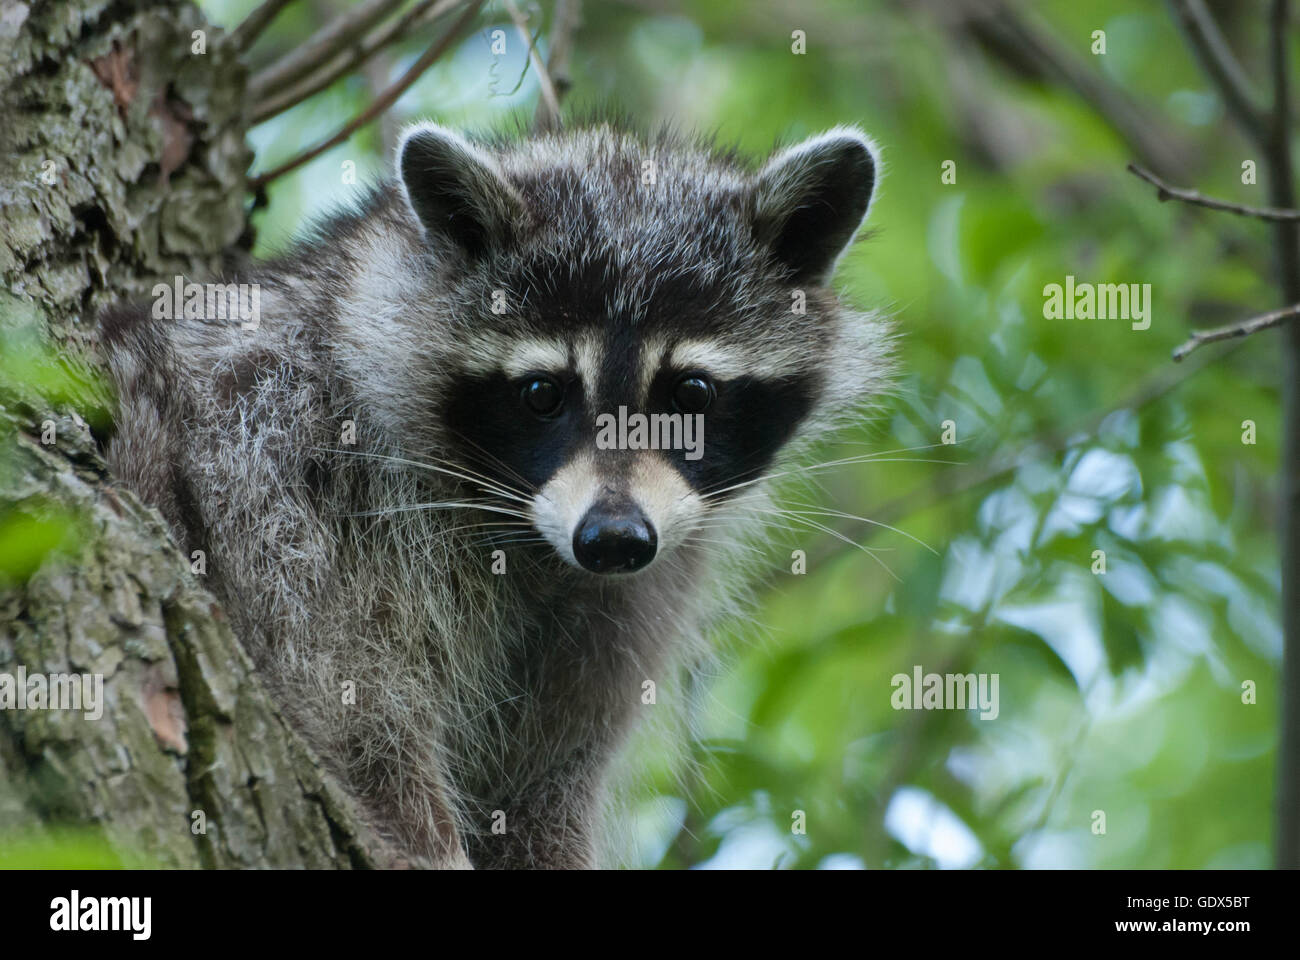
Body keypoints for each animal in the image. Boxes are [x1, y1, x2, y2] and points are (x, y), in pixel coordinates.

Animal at [98, 119, 892, 868]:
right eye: (542, 393)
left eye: (692, 394)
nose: (612, 539)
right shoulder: (280, 455)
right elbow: (346, 698)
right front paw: (418, 838)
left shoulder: (628, 594)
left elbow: (544, 782)